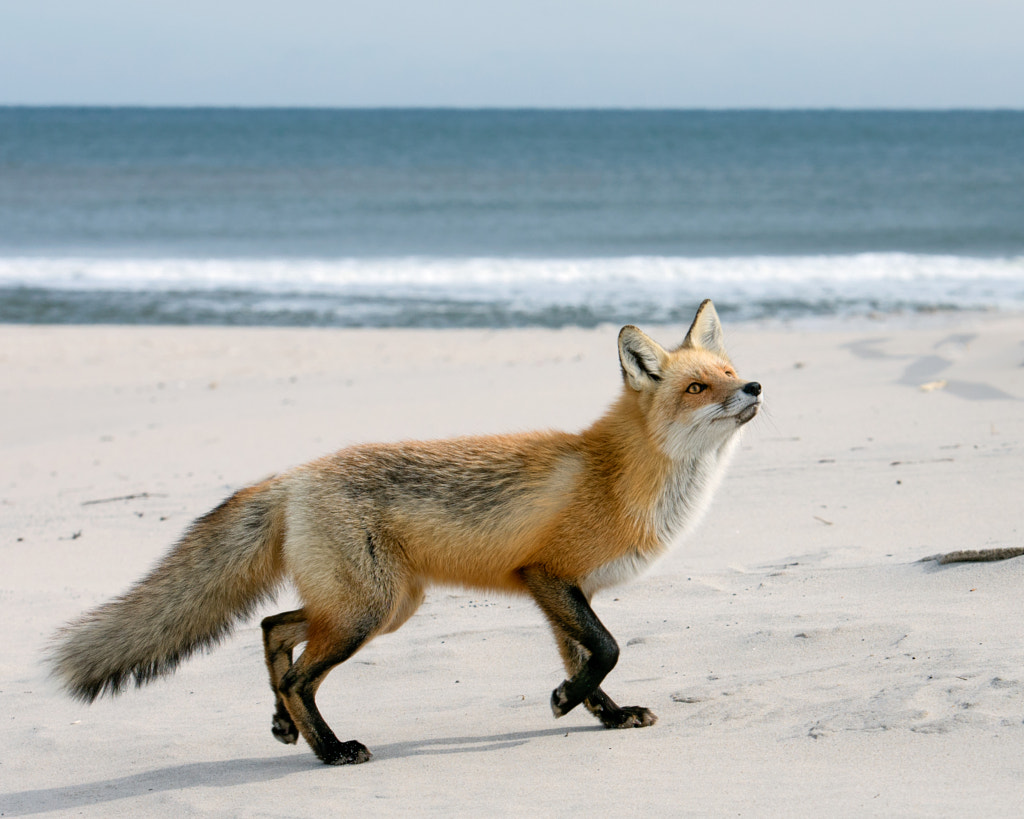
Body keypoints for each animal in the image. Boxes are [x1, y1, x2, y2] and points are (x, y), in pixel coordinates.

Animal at [48, 299, 761, 766]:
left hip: (379, 605)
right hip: (369, 610)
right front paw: (565, 702)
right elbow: (606, 649)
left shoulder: (566, 590)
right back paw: (331, 749)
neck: (620, 476)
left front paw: (605, 714)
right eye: (697, 387)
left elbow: (586, 658)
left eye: (727, 374)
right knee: (299, 673)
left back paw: (286, 726)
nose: (754, 385)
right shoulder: (548, 575)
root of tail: (293, 476)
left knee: (275, 629)